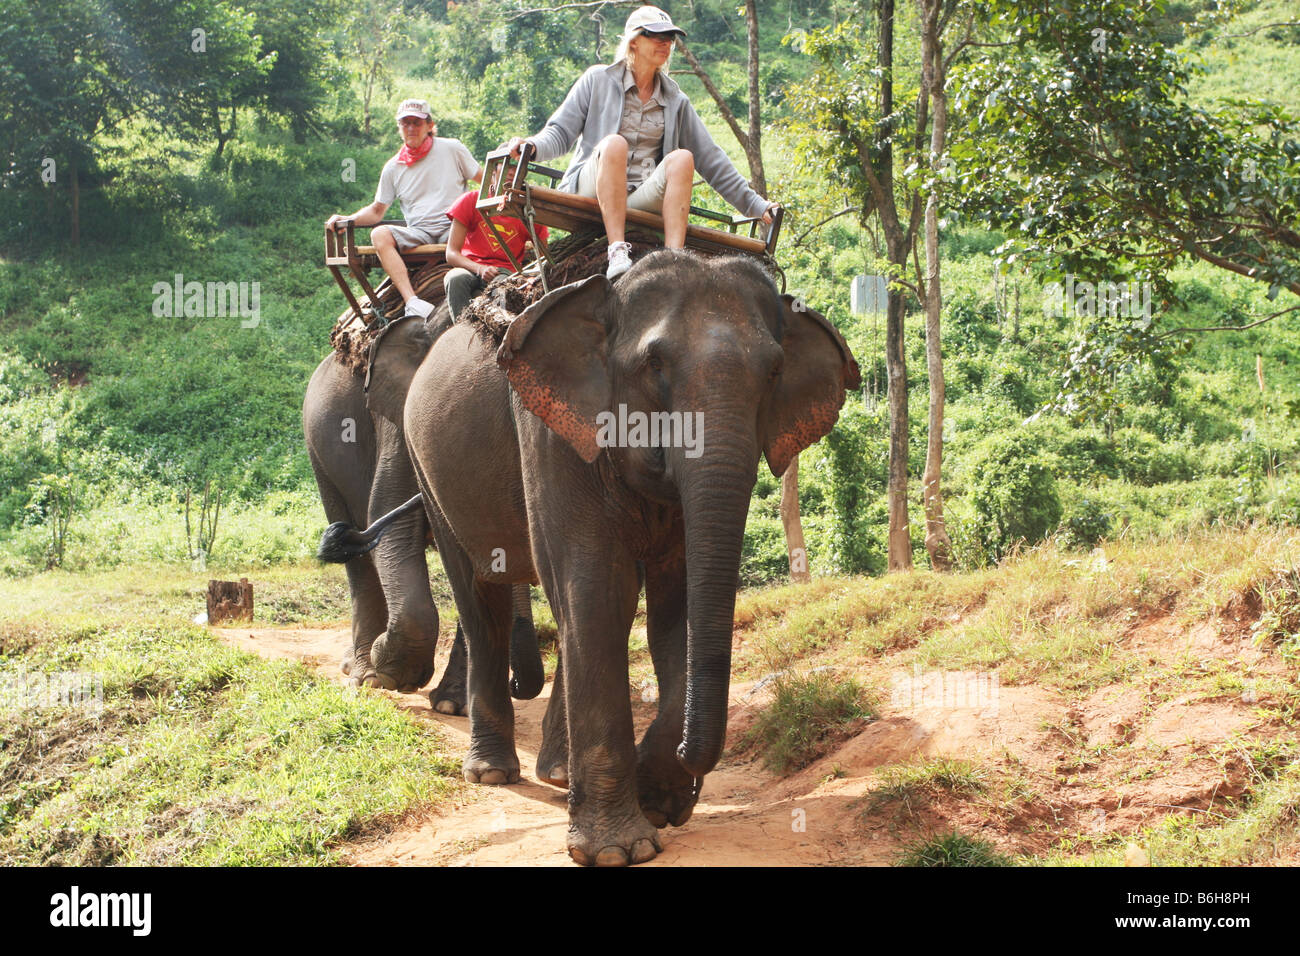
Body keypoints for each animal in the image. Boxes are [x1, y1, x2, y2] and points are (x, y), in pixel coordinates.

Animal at [303, 303, 544, 709]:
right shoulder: (399, 421)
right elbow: (386, 512)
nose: (515, 685)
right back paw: (363, 673)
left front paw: (451, 703)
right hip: (318, 452)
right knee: (356, 552)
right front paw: (393, 673)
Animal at [401, 249, 860, 865]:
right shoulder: (551, 434)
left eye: (773, 371)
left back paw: (558, 774)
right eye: (654, 363)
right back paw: (494, 773)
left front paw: (659, 799)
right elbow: (599, 593)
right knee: (483, 602)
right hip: (428, 470)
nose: (692, 767)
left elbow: (677, 607)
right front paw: (619, 849)